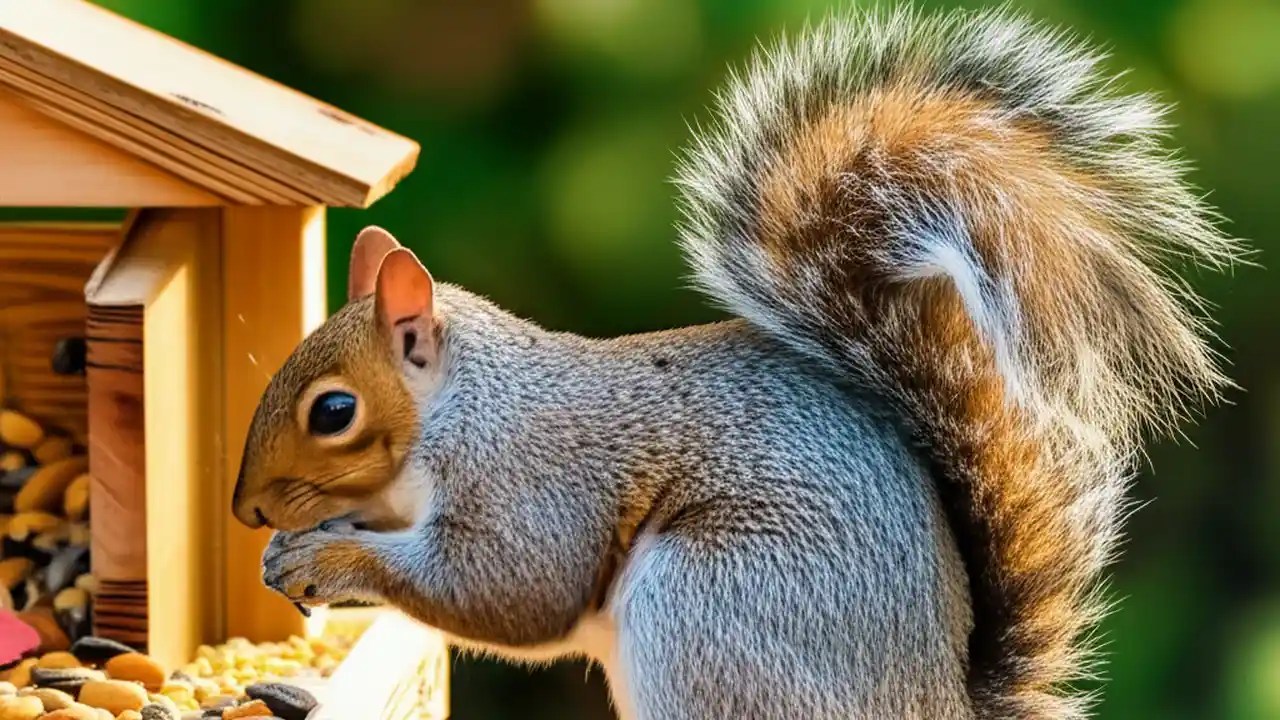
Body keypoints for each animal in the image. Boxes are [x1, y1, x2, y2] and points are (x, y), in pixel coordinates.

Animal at [231, 7, 1239, 720]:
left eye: (333, 411)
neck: (458, 412)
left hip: (711, 610)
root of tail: (937, 706)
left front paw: (328, 561)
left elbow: (509, 591)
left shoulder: (536, 479)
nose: (245, 512)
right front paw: (294, 552)